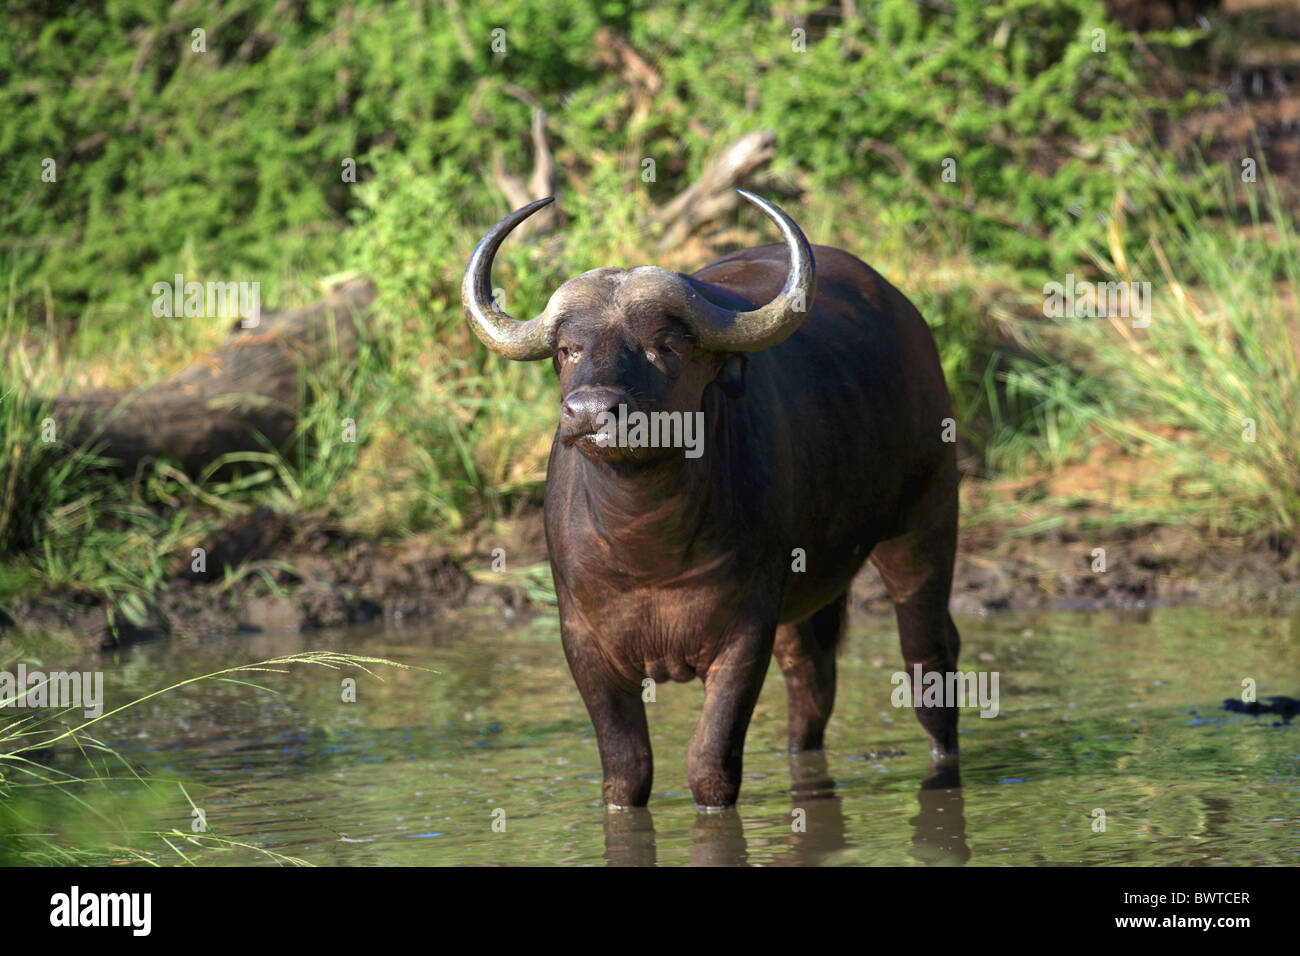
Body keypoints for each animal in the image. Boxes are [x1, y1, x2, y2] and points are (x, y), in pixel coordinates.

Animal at [462, 190, 962, 810]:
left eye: (665, 345)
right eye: (566, 350)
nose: (591, 411)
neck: (646, 548)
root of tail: (907, 317)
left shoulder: (745, 632)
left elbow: (710, 764)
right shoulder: (582, 639)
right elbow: (626, 770)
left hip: (926, 519)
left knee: (929, 658)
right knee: (811, 679)